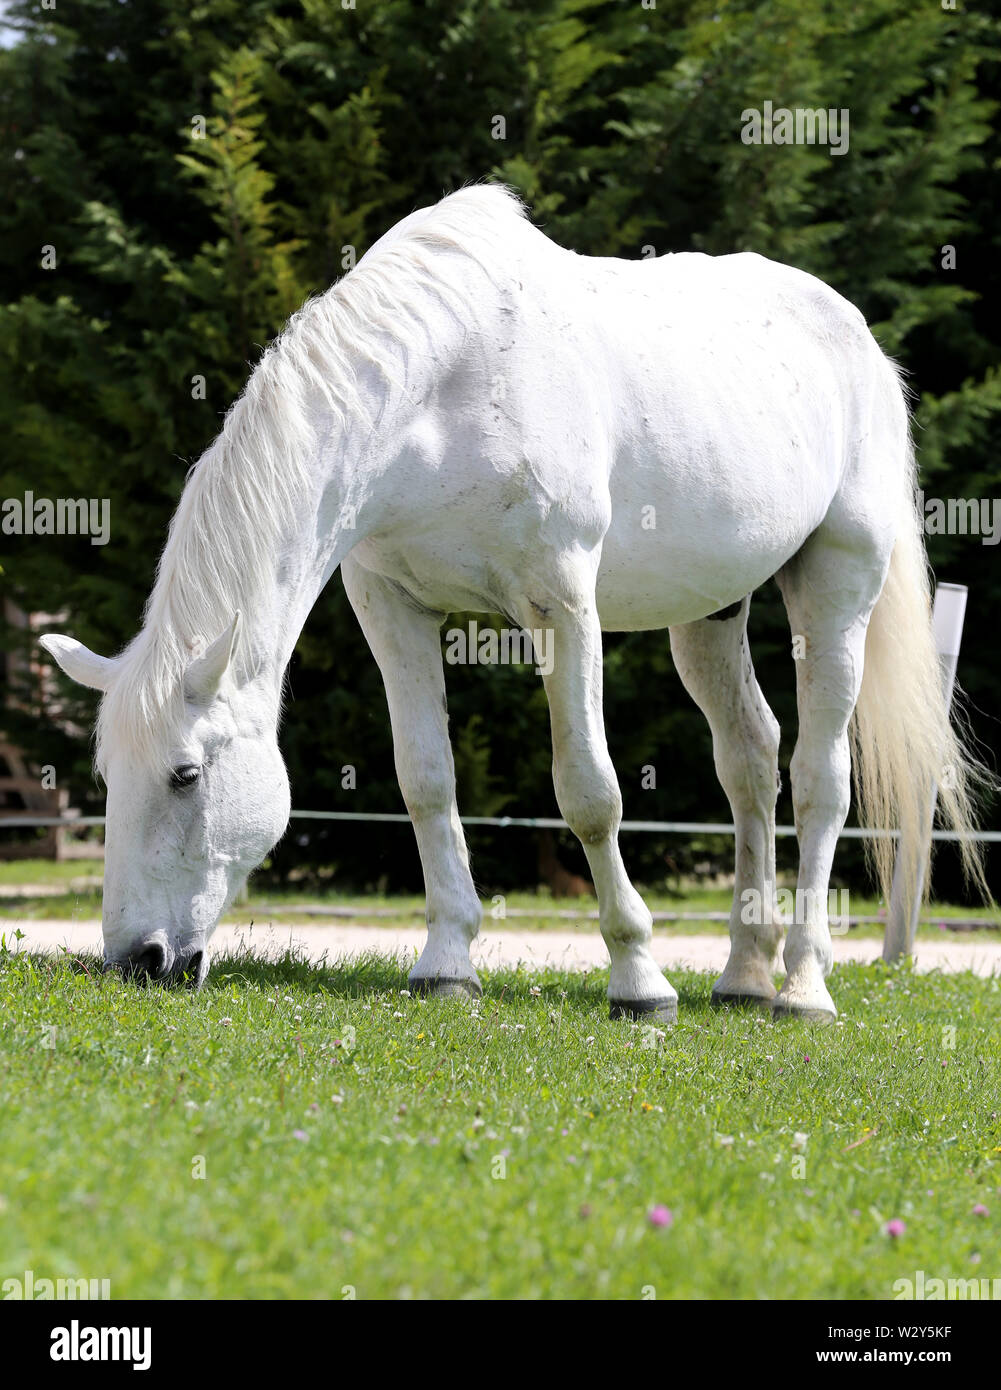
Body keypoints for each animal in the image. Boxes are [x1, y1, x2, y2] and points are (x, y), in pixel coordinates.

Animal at [40, 184, 985, 1022]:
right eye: (106, 775)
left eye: (186, 775)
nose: (137, 962)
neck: (442, 387)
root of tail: (856, 338)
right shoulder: (391, 609)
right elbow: (425, 781)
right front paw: (445, 966)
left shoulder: (561, 607)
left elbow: (590, 791)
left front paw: (638, 979)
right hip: (707, 614)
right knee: (749, 760)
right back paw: (743, 977)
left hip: (838, 586)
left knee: (819, 778)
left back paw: (802, 988)